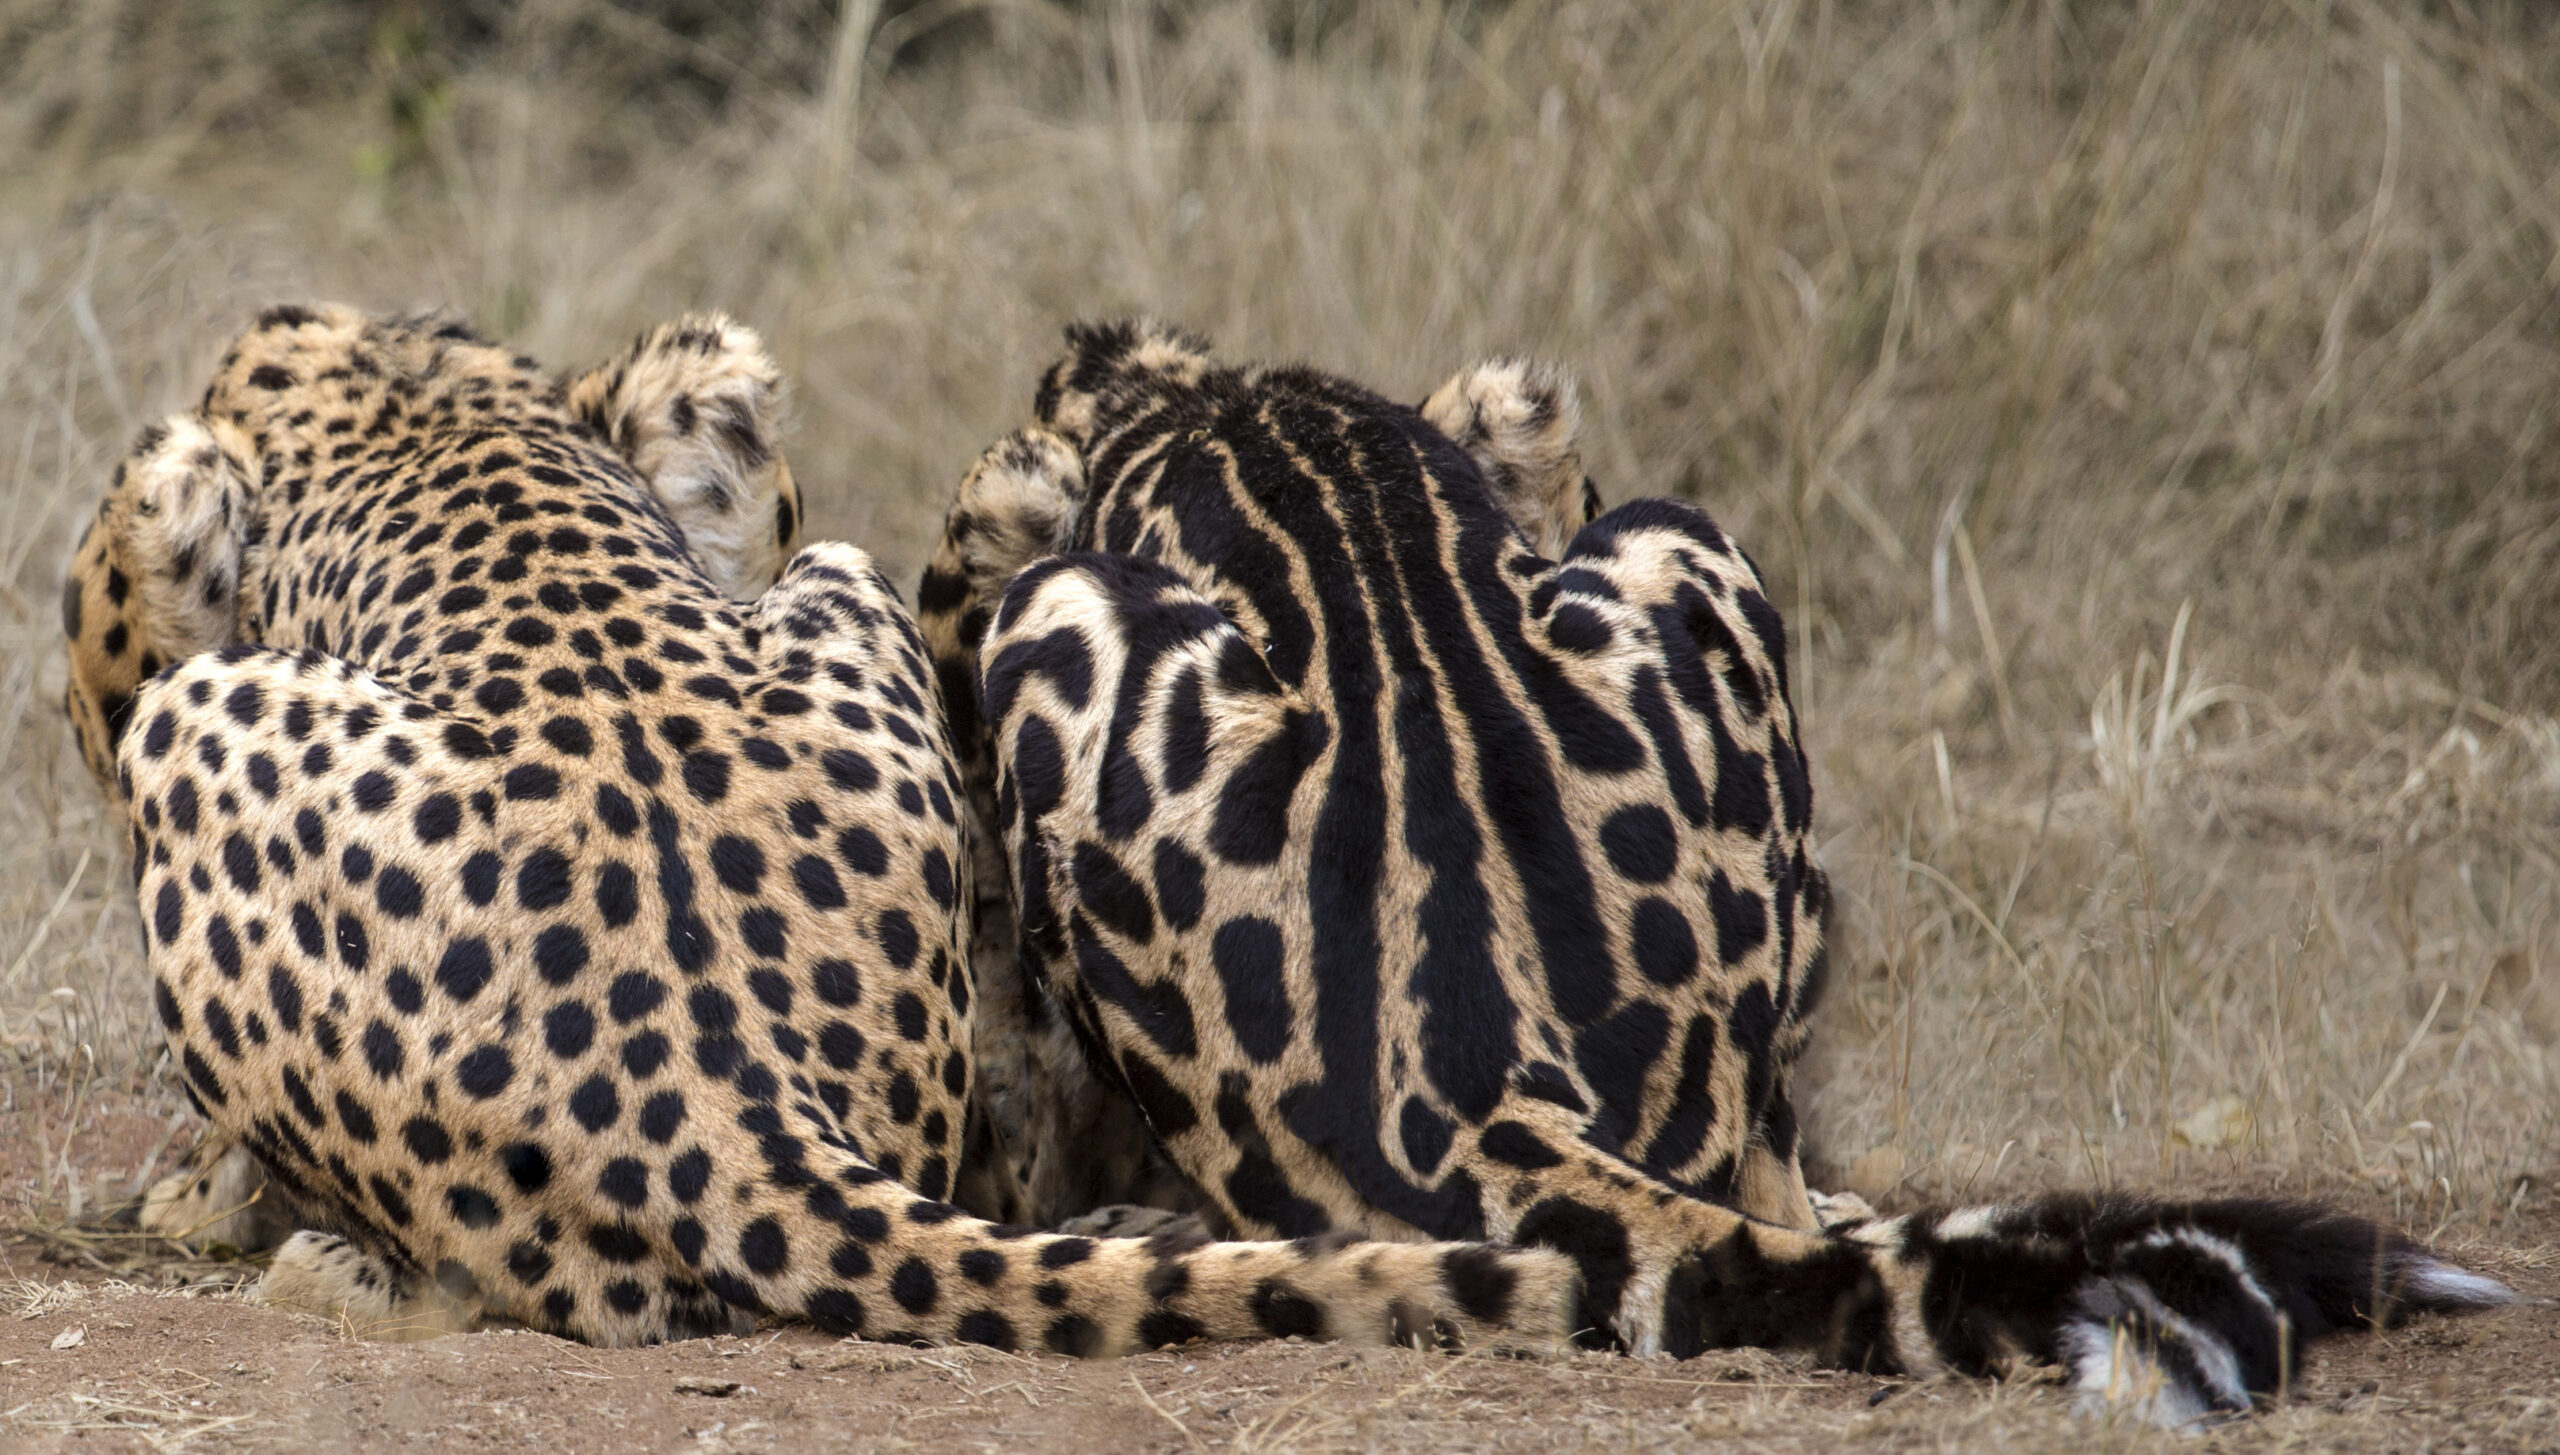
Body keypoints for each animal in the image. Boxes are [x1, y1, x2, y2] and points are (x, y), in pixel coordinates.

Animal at [60, 303, 1586, 1356]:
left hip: (193, 720)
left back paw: (319, 1263)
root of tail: (730, 1101)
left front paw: (196, 1197)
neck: (402, 387)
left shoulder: (160, 568)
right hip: (846, 587)